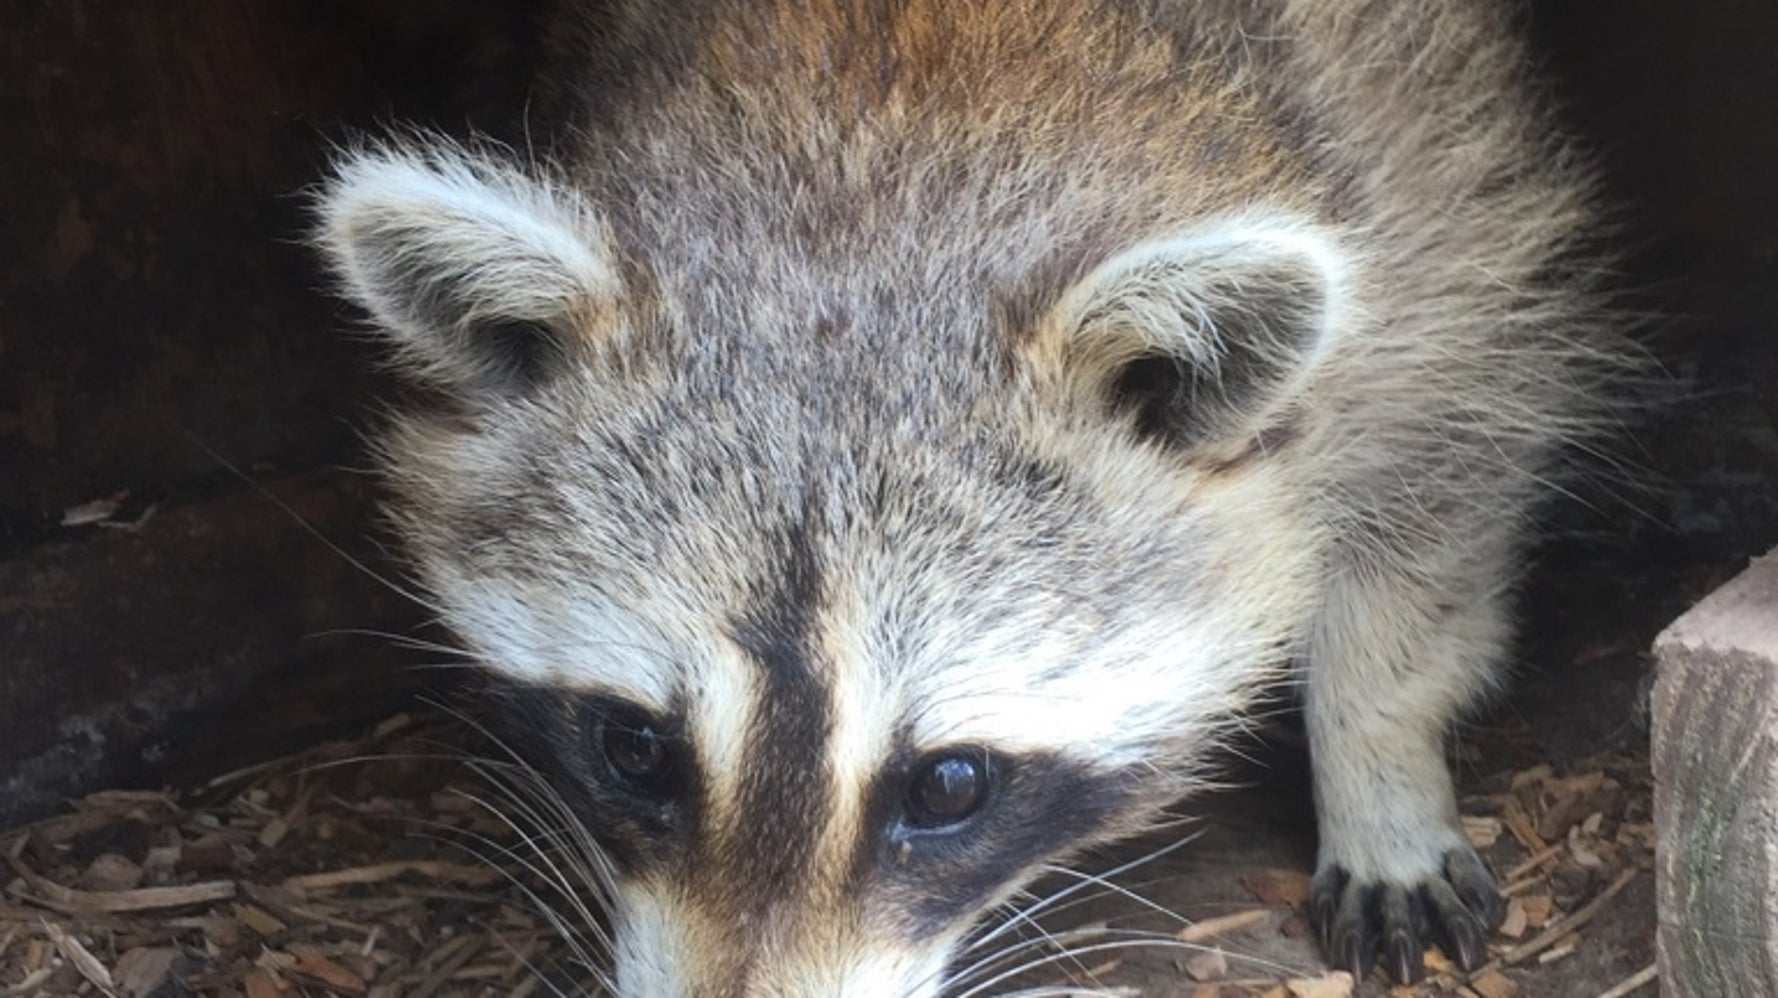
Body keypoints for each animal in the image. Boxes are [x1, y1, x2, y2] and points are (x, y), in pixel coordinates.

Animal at [314, 0, 1626, 992]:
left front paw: (1374, 755)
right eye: (633, 747)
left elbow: (1436, 502)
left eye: (947, 783)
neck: (882, 144)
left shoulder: (1433, 220)